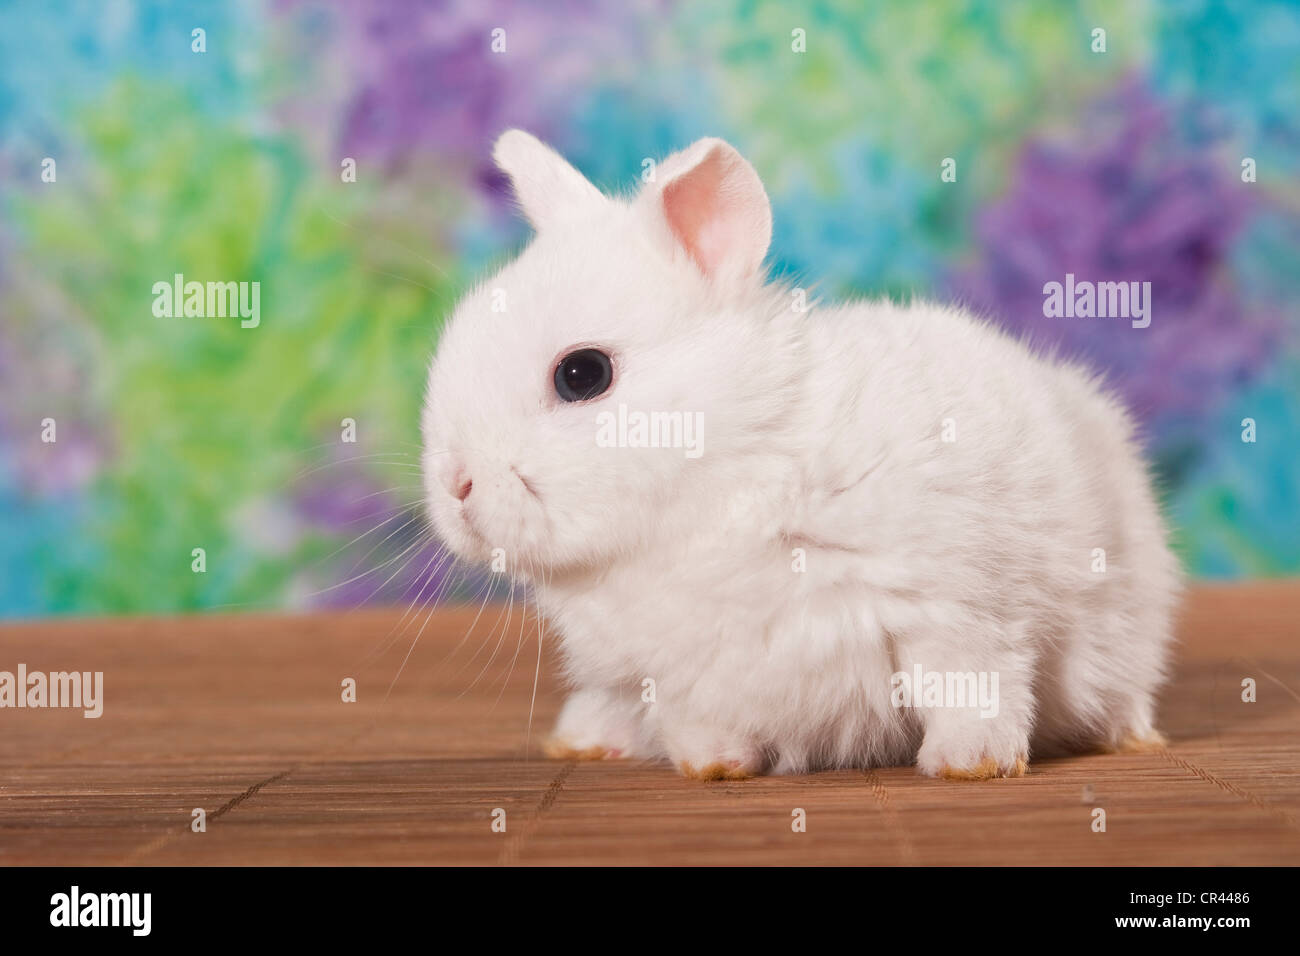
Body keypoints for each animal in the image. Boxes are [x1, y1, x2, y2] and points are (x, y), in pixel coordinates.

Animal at [421, 129, 1180, 781]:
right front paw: (714, 767)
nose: (457, 488)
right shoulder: (680, 682)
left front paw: (973, 763)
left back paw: (1132, 736)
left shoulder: (955, 612)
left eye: (583, 374)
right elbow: (700, 729)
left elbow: (971, 689)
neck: (722, 479)